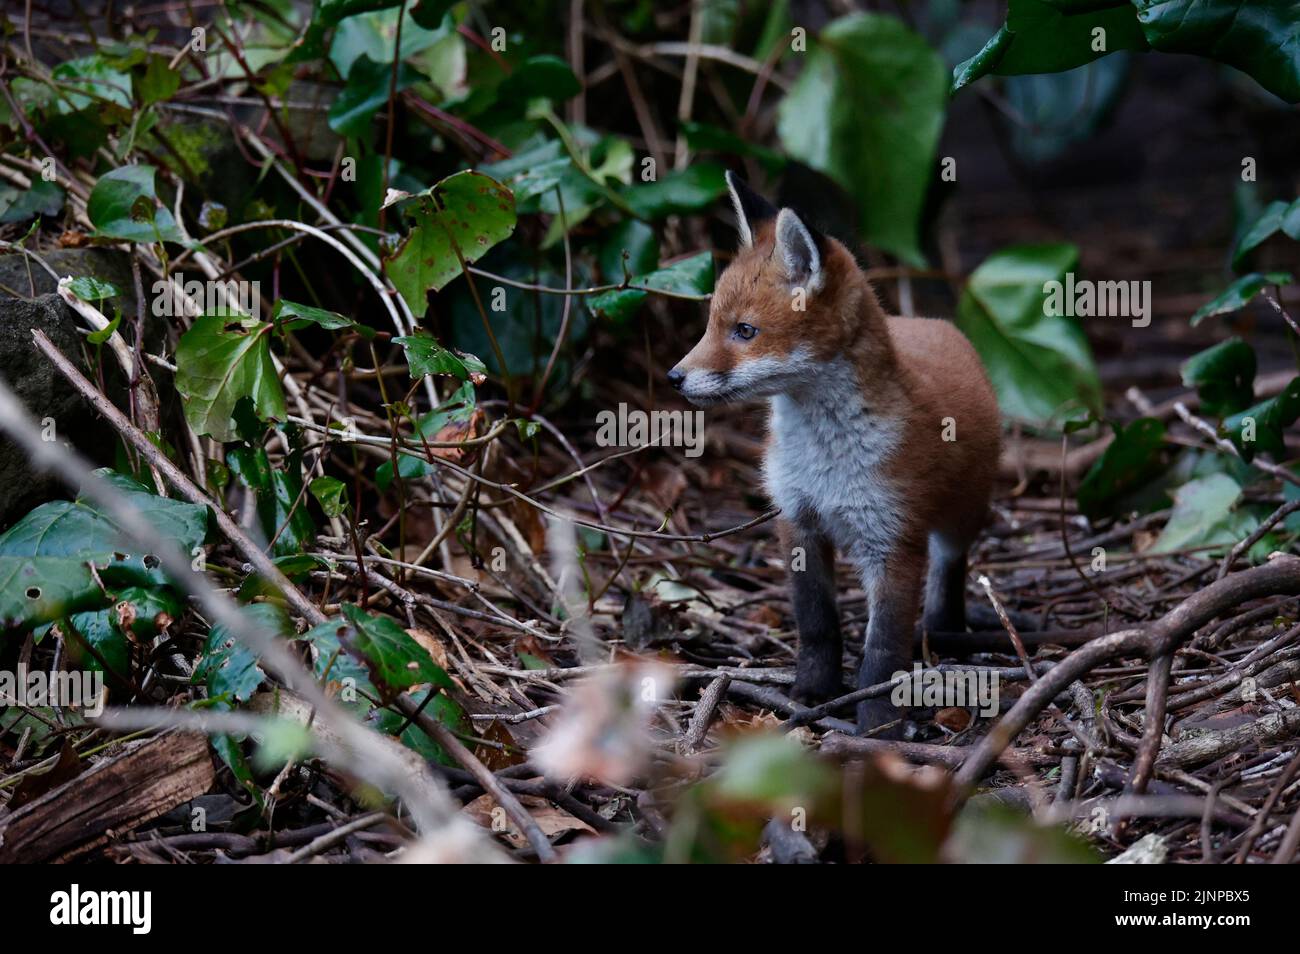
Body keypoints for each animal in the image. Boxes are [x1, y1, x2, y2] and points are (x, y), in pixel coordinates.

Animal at [668, 172, 1001, 736]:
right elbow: (817, 625)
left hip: (963, 515)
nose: (675, 377)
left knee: (949, 567)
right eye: (711, 324)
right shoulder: (797, 519)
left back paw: (945, 632)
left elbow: (884, 651)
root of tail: (932, 323)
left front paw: (878, 723)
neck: (824, 460)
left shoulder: (894, 540)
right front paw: (812, 693)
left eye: (745, 331)